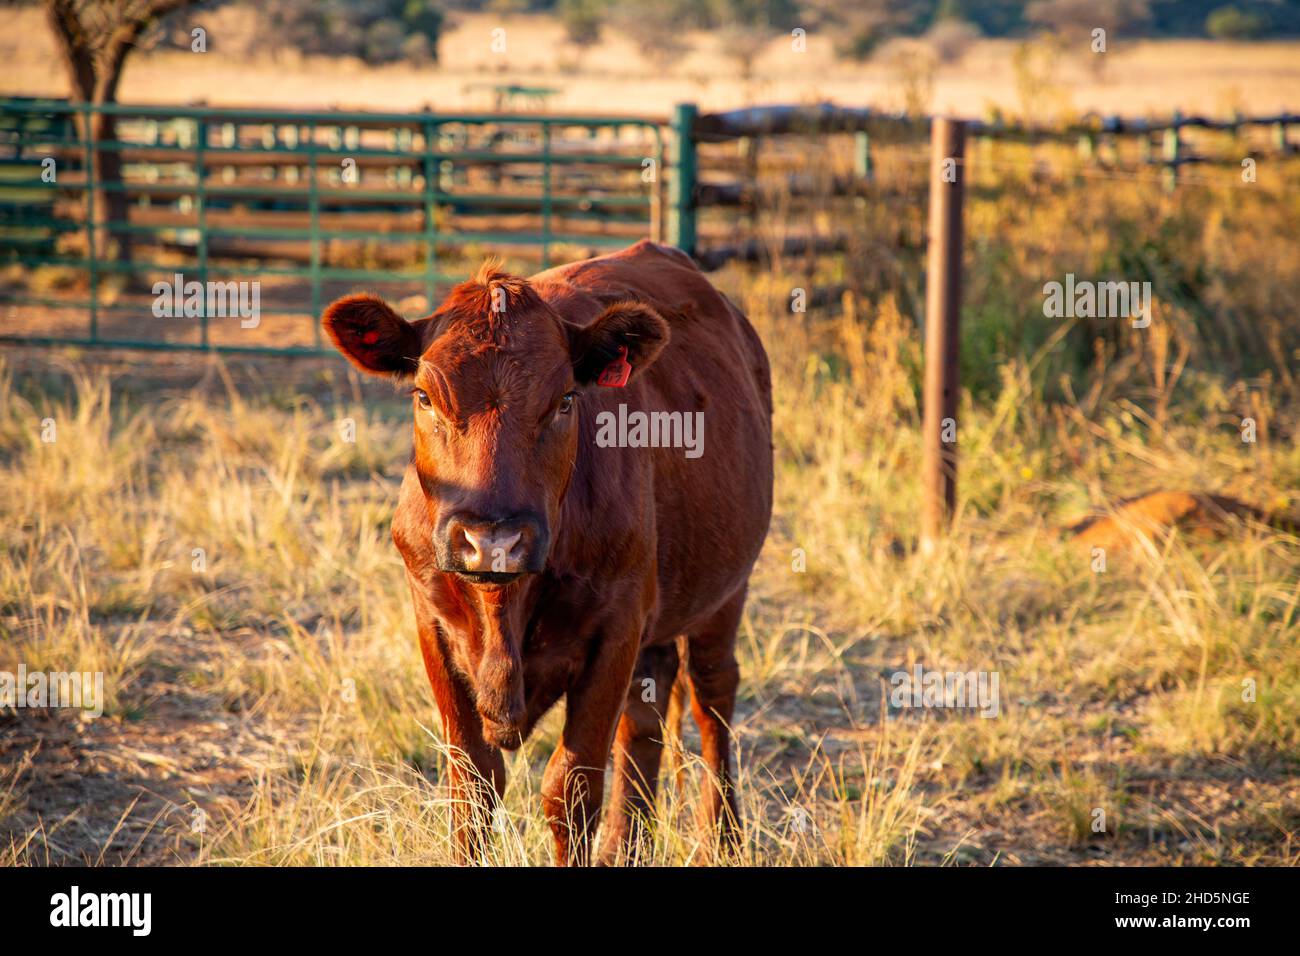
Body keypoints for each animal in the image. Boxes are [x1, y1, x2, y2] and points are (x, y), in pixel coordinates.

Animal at [322, 240, 773, 865]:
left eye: (565, 401)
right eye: (424, 397)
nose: (493, 540)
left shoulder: (616, 627)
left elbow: (571, 786)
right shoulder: (430, 622)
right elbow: (473, 787)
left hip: (726, 588)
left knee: (712, 695)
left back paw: (724, 838)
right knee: (648, 707)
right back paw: (624, 845)